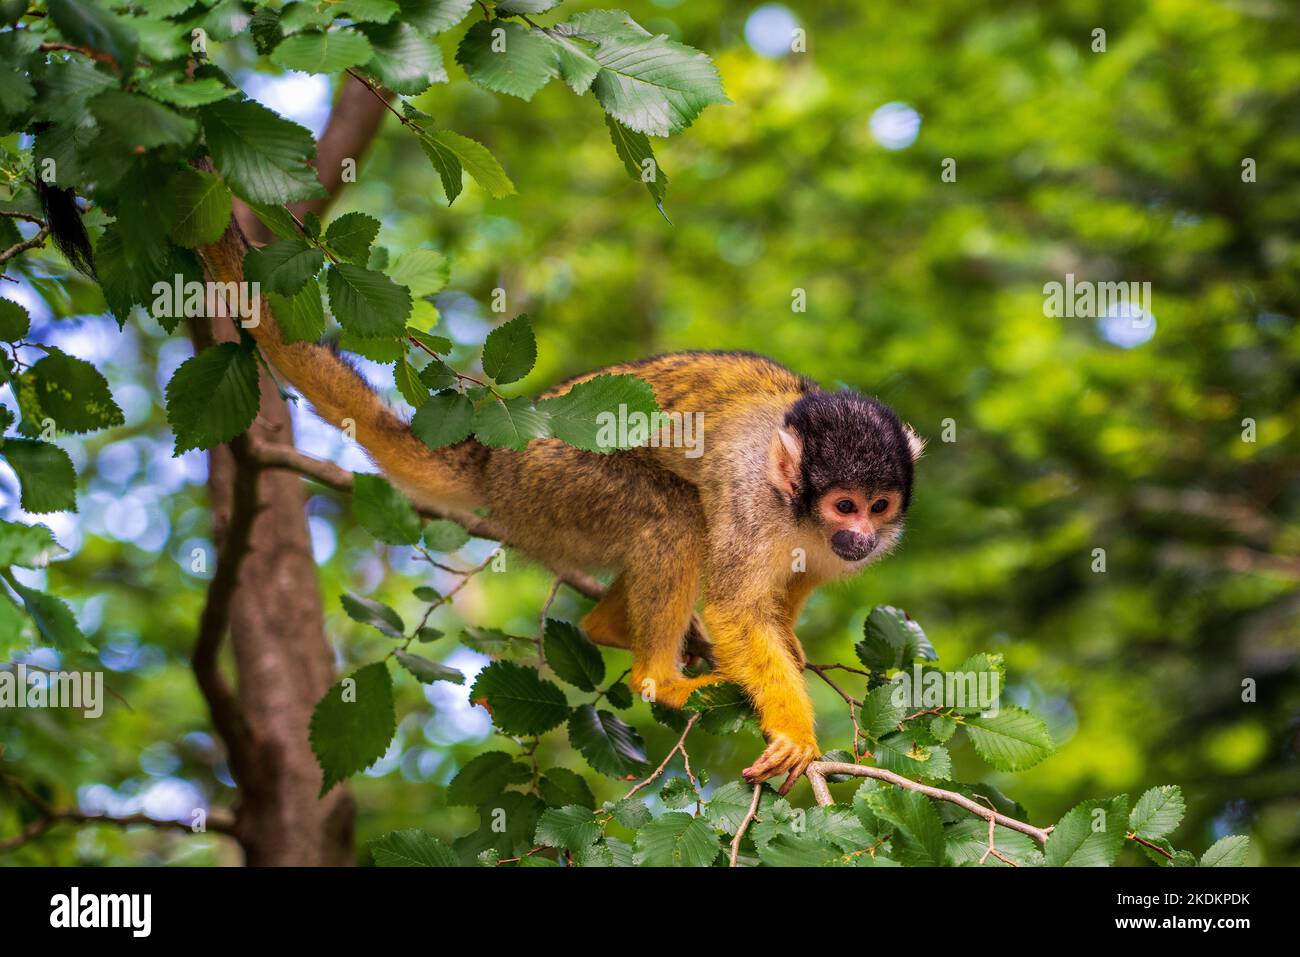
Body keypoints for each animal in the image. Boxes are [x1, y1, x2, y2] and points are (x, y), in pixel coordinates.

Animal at [231, 273, 922, 794]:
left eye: (878, 506)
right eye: (843, 504)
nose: (862, 537)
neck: (796, 512)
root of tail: (495, 460)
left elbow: (788, 589)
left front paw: (791, 647)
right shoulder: (753, 503)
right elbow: (736, 609)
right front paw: (796, 734)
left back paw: (611, 626)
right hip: (555, 485)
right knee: (676, 516)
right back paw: (656, 677)